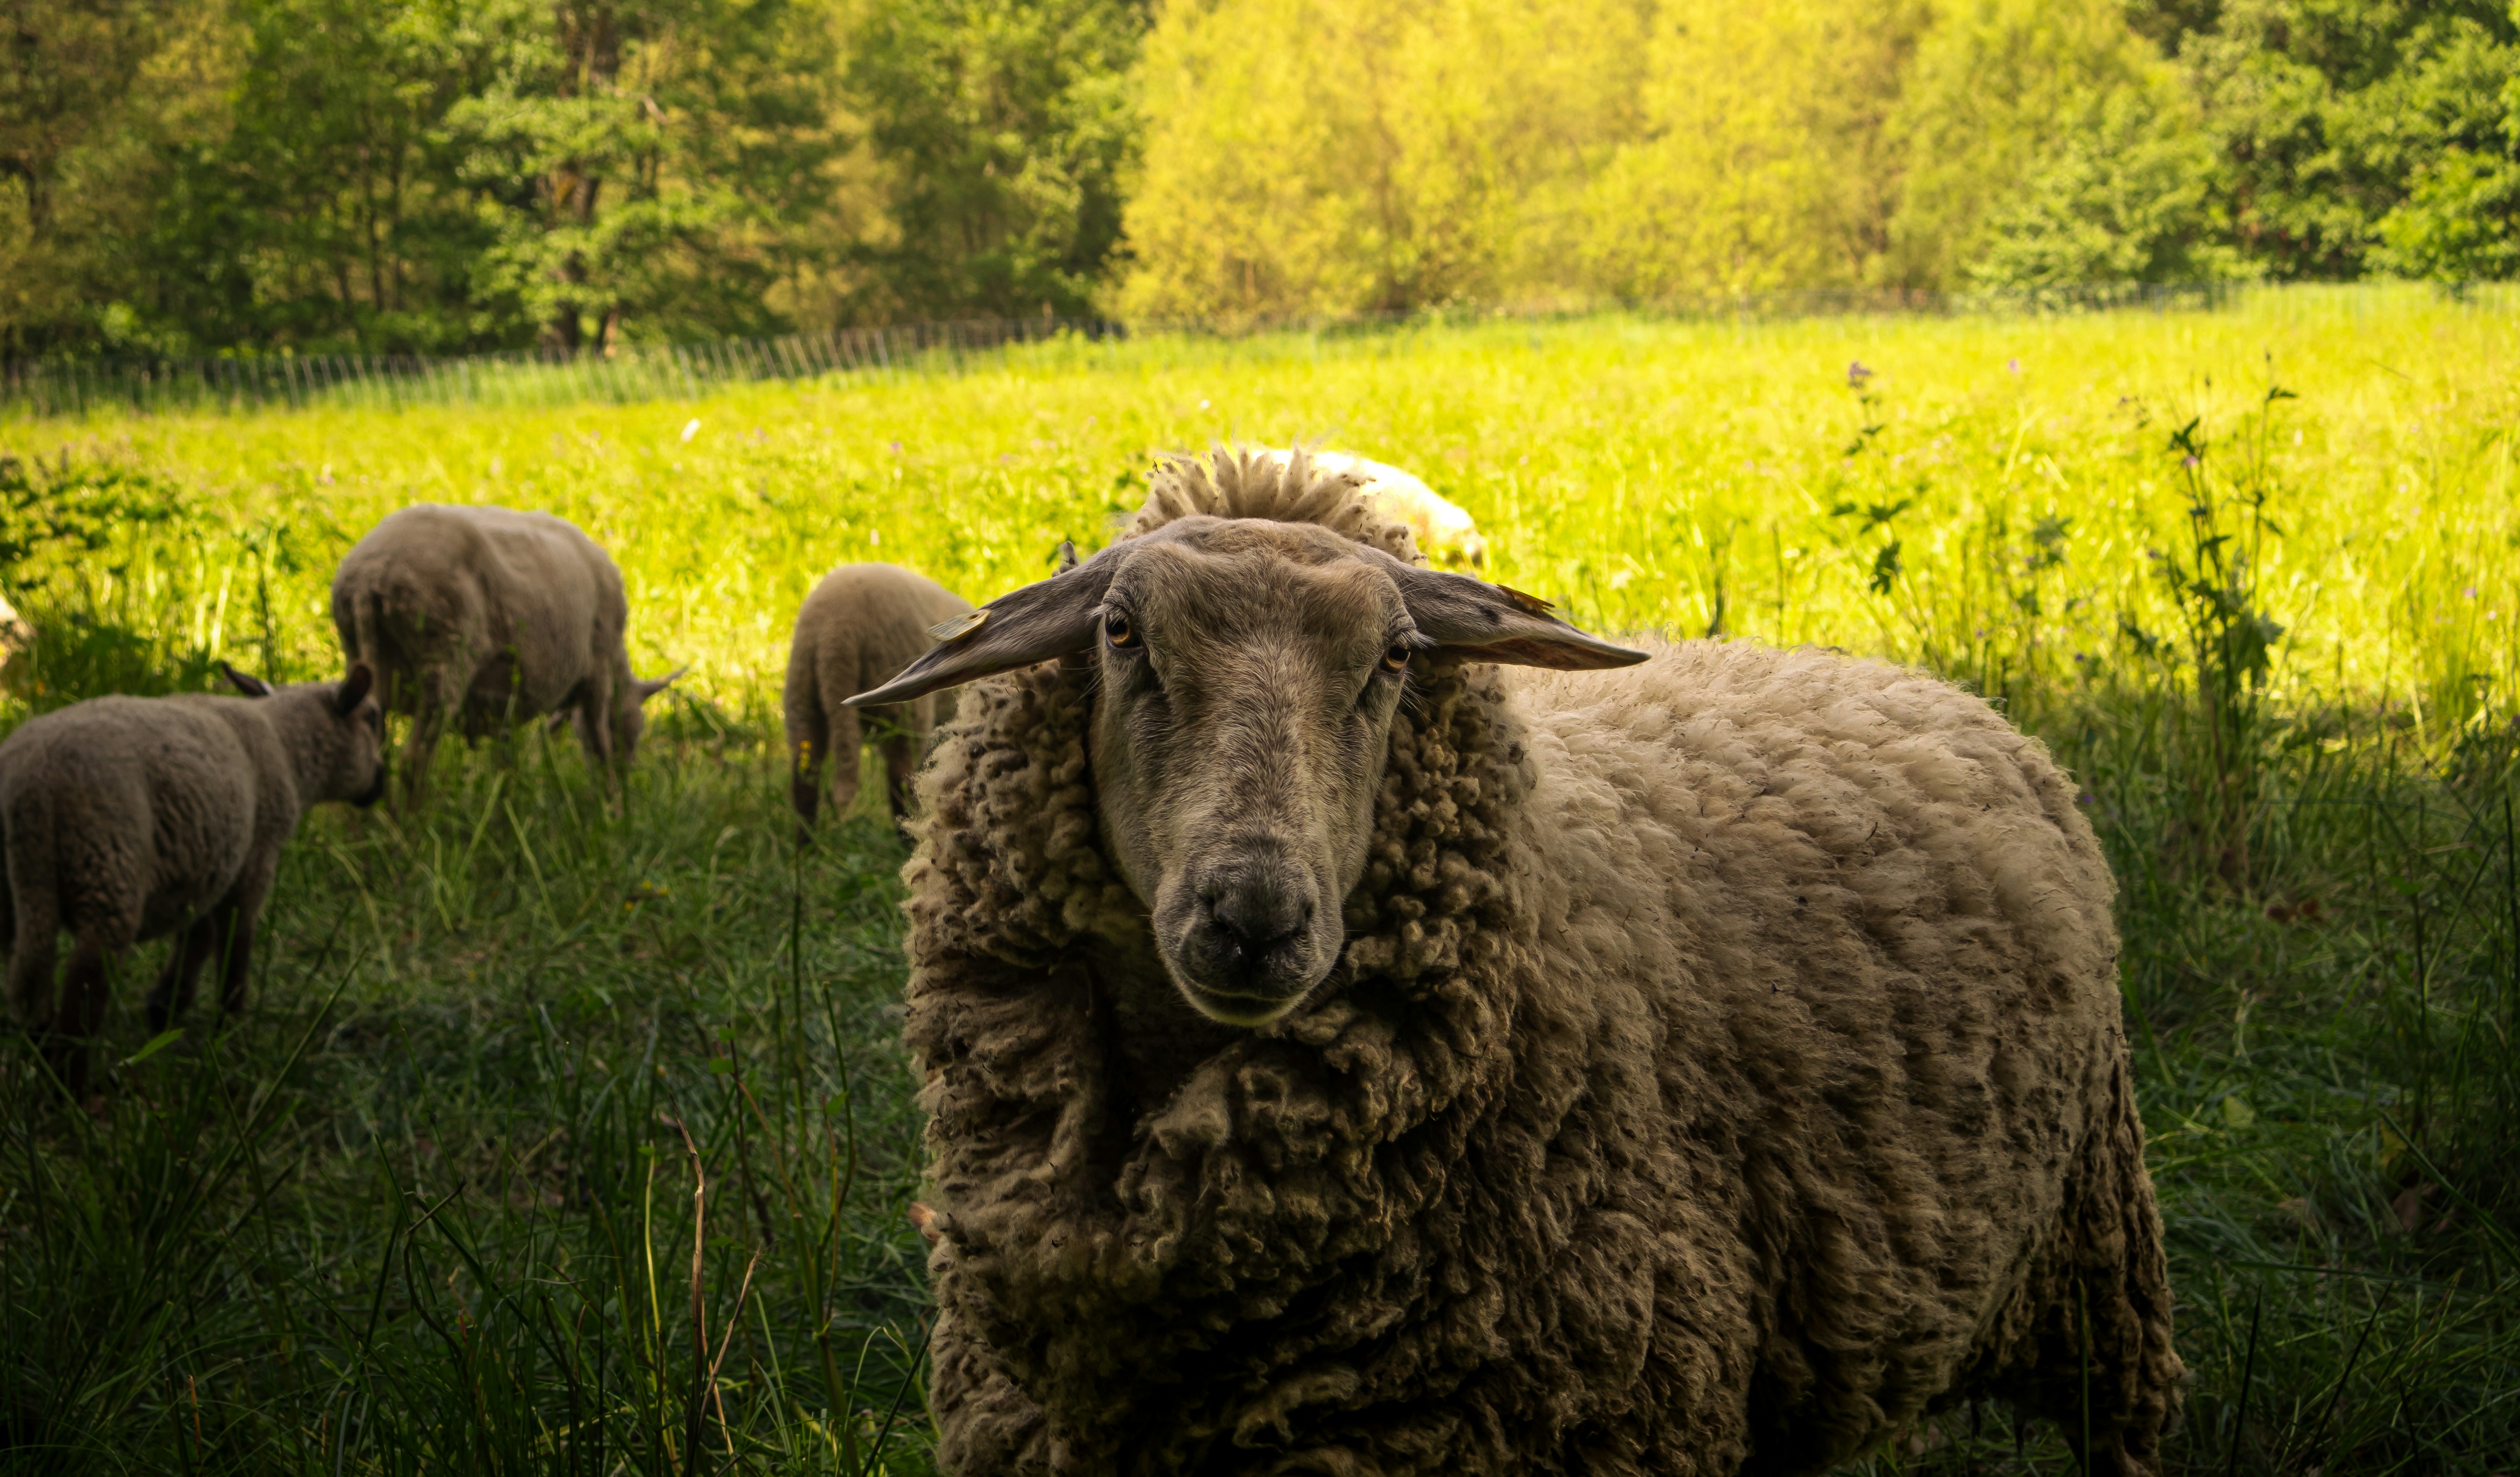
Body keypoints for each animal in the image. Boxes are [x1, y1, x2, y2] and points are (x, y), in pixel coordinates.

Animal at [0, 662, 384, 1094]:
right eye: (373, 719)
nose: (382, 781)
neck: (288, 746)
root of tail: (28, 784)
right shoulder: (252, 863)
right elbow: (234, 947)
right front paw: (230, 1032)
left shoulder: (206, 869)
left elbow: (197, 938)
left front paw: (165, 1007)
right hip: (105, 867)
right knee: (84, 984)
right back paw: (72, 1091)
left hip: (18, 892)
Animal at [328, 503, 682, 810]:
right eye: (633, 728)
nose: (628, 774)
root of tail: (370, 575)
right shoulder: (598, 671)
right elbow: (599, 744)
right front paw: (614, 810)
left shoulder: (505, 703)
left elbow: (505, 767)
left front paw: (505, 817)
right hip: (443, 657)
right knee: (413, 764)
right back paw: (412, 835)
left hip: (363, 656)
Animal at [782, 562, 973, 836]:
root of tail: (836, 628)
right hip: (903, 705)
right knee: (902, 781)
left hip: (802, 694)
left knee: (805, 777)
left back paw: (807, 844)